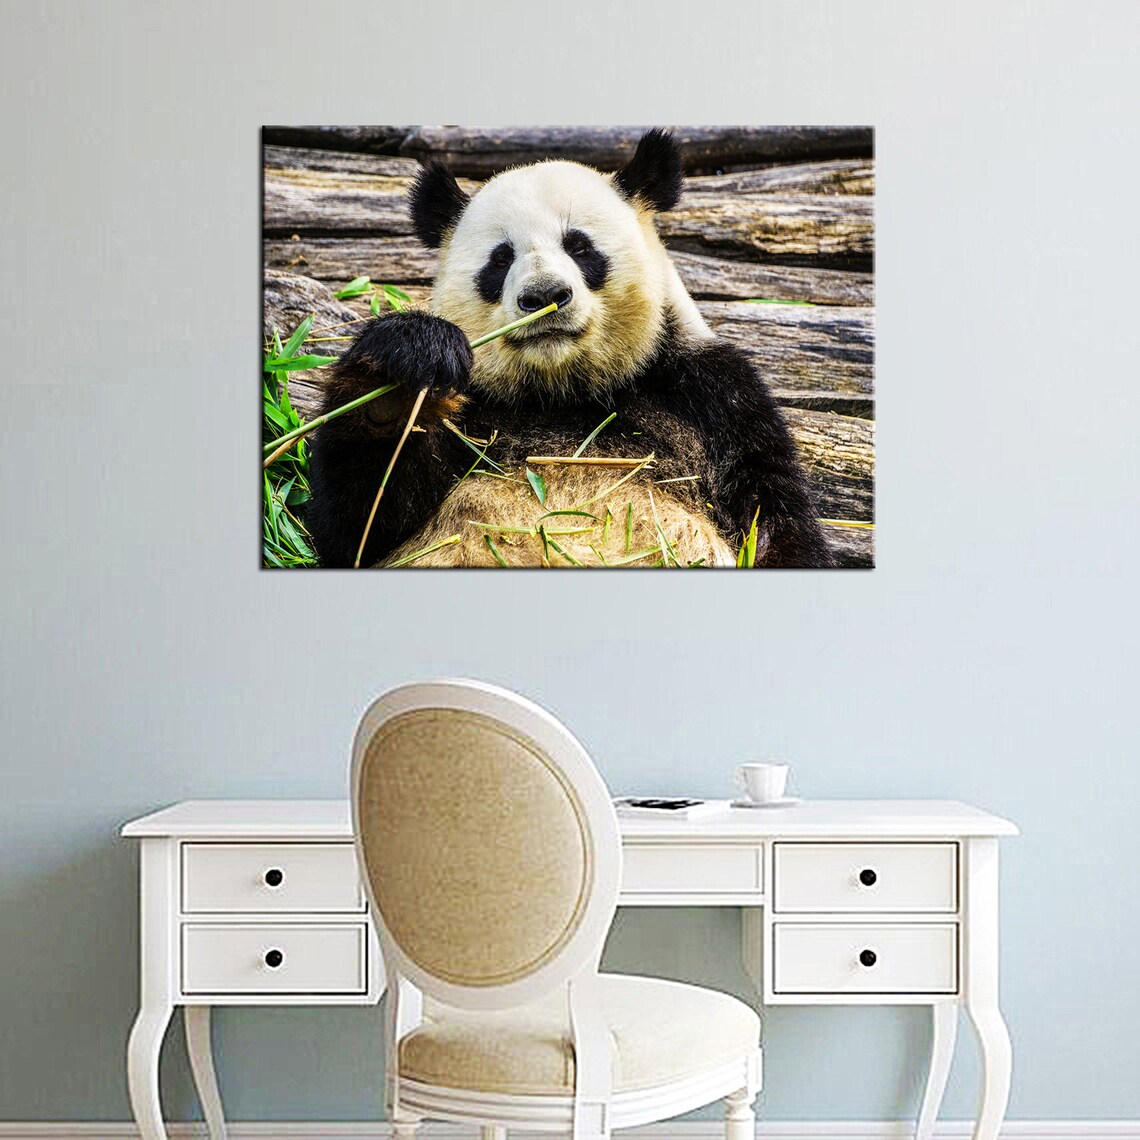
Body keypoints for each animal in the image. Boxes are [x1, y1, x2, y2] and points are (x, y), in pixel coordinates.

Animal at [306, 129, 834, 569]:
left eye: (579, 246)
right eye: (501, 259)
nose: (544, 296)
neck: (562, 392)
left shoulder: (715, 399)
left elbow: (775, 524)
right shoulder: (477, 414)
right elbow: (362, 527)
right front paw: (402, 372)